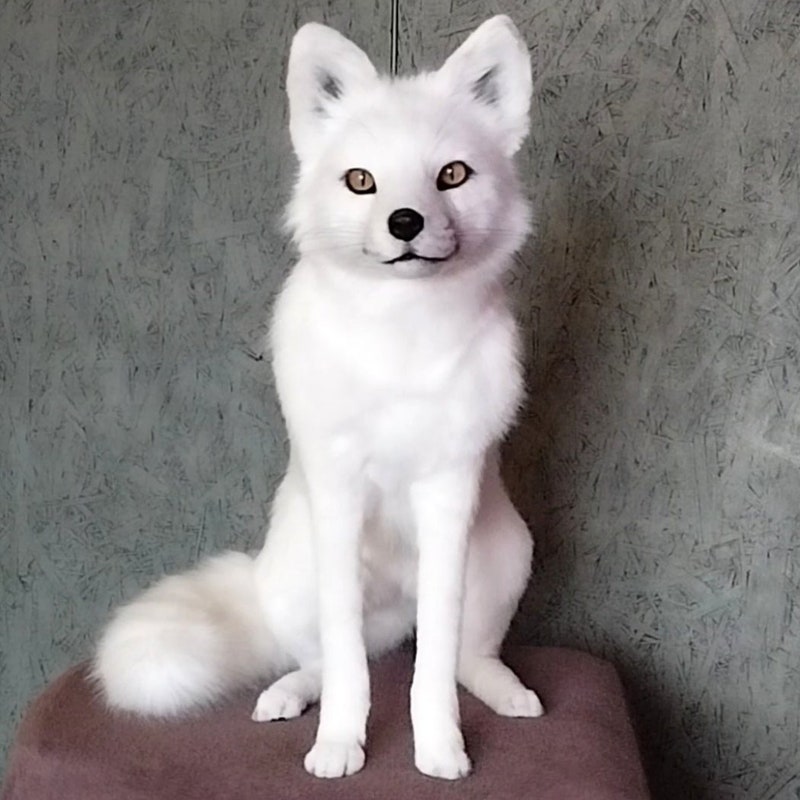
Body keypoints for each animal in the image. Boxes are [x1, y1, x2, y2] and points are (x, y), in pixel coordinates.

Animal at [94, 15, 543, 780]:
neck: (399, 337)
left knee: (465, 656)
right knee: (322, 659)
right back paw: (288, 693)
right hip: (296, 577)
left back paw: (504, 690)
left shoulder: (446, 493)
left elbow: (431, 668)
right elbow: (347, 667)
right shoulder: (338, 490)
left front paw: (439, 747)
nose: (404, 221)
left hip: (503, 560)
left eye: (452, 175)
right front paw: (339, 742)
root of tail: (394, 610)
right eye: (361, 181)